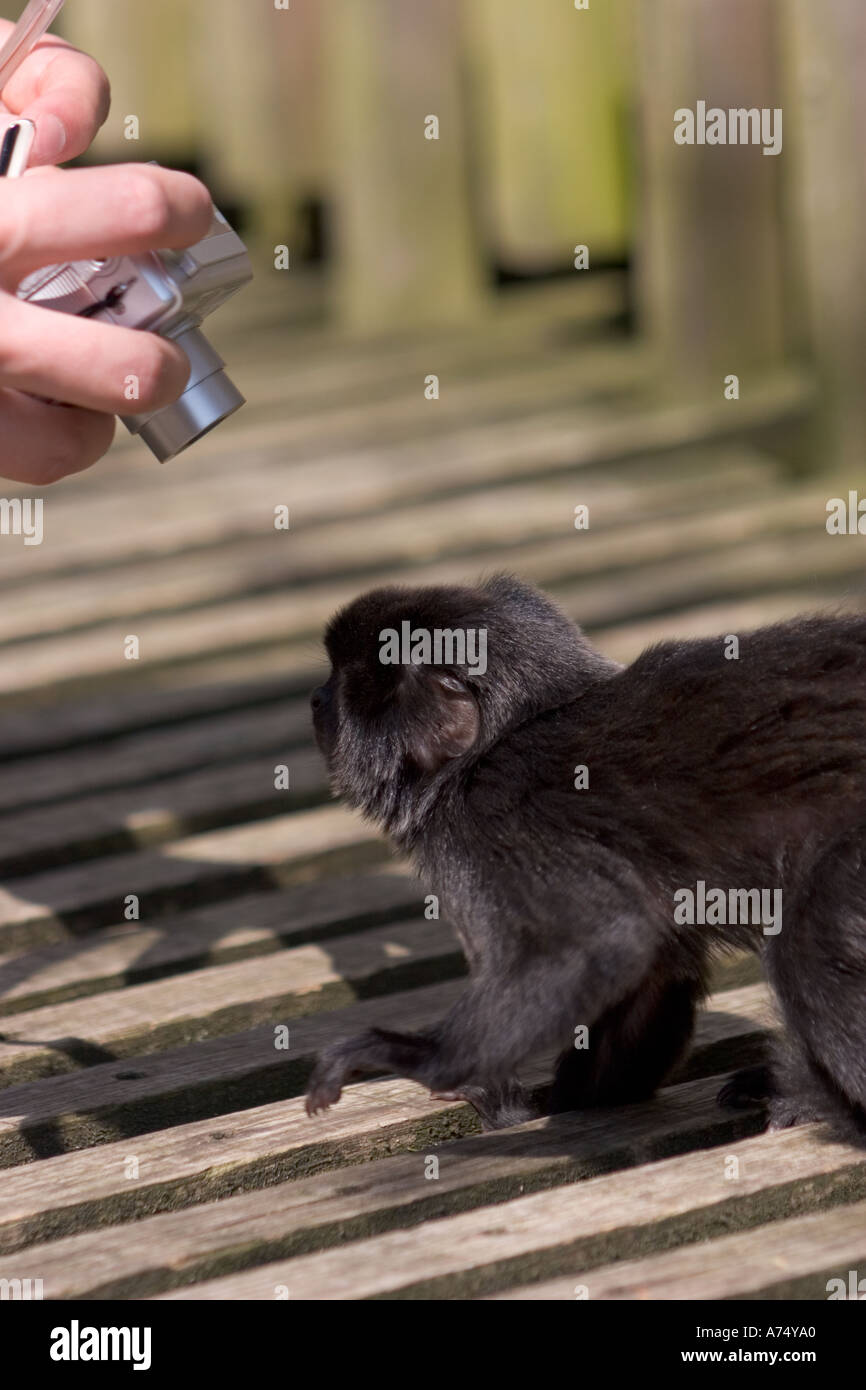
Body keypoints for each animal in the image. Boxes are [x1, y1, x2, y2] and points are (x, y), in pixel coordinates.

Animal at [305, 573, 866, 1139]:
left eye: (338, 685)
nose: (314, 699)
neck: (495, 744)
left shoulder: (487, 822)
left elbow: (601, 943)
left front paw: (422, 1060)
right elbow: (646, 972)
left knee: (807, 948)